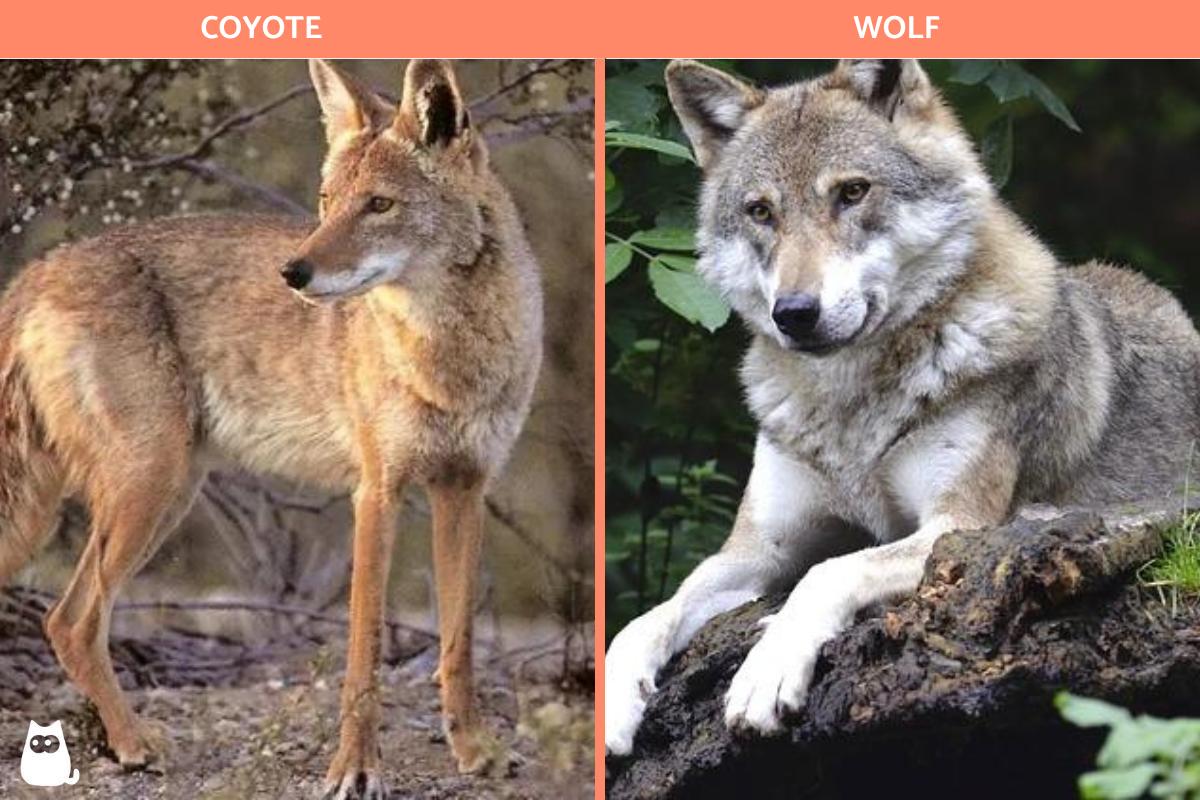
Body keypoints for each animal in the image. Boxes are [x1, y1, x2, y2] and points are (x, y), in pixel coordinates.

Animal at [0, 59, 542, 798]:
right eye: (326, 200)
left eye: (378, 206)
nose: (293, 272)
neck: (448, 358)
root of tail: (36, 270)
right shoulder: (376, 495)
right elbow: (364, 654)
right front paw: (355, 770)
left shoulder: (463, 489)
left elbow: (456, 645)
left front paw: (475, 752)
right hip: (148, 490)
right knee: (72, 620)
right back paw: (134, 745)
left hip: (166, 496)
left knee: (66, 621)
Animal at [605, 58, 1200, 755]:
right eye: (760, 211)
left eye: (852, 192)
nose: (793, 313)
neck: (851, 406)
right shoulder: (757, 551)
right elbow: (649, 616)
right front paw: (612, 703)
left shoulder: (958, 527)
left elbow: (828, 572)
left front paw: (766, 671)